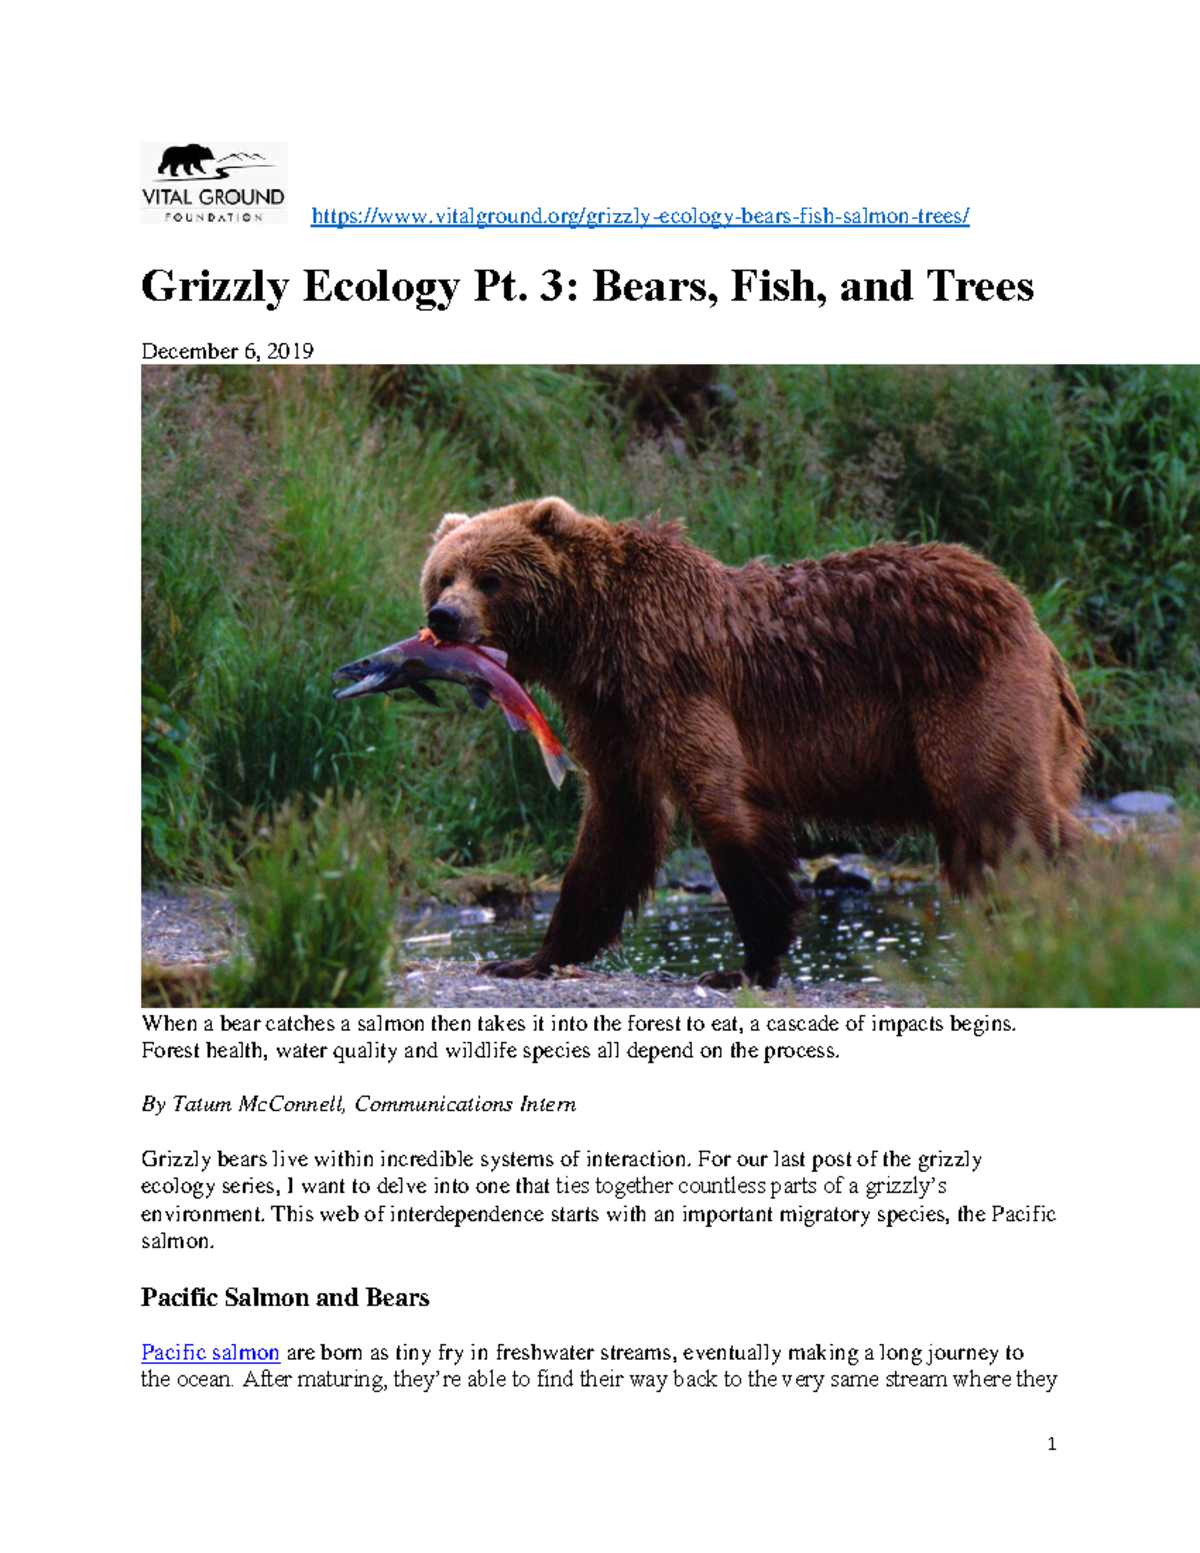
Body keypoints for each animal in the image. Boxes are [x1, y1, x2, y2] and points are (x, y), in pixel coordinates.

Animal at [420, 497, 1088, 988]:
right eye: (443, 574)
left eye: (491, 577)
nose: (443, 616)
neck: (593, 639)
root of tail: (1025, 612)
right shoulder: (610, 719)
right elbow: (614, 833)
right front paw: (527, 957)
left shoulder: (674, 682)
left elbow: (722, 803)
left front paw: (741, 966)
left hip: (965, 698)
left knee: (996, 815)